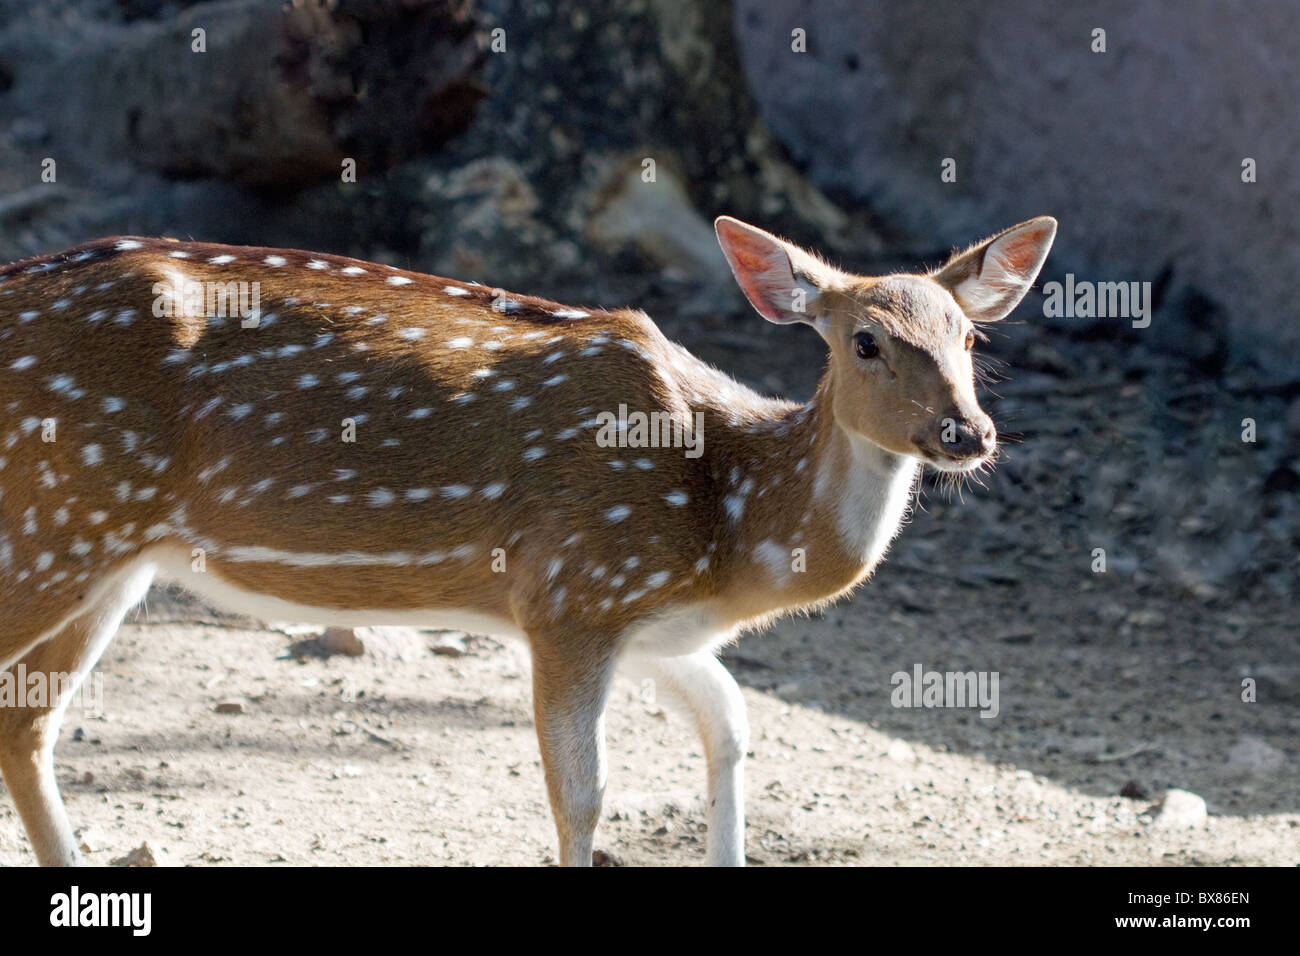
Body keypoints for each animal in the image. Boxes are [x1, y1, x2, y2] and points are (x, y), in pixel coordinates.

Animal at [0, 214, 1055, 866]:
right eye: (865, 340)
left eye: (969, 339)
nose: (967, 434)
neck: (730, 525)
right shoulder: (571, 592)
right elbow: (580, 793)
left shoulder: (656, 628)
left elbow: (730, 728)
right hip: (56, 525)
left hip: (112, 557)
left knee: (26, 720)